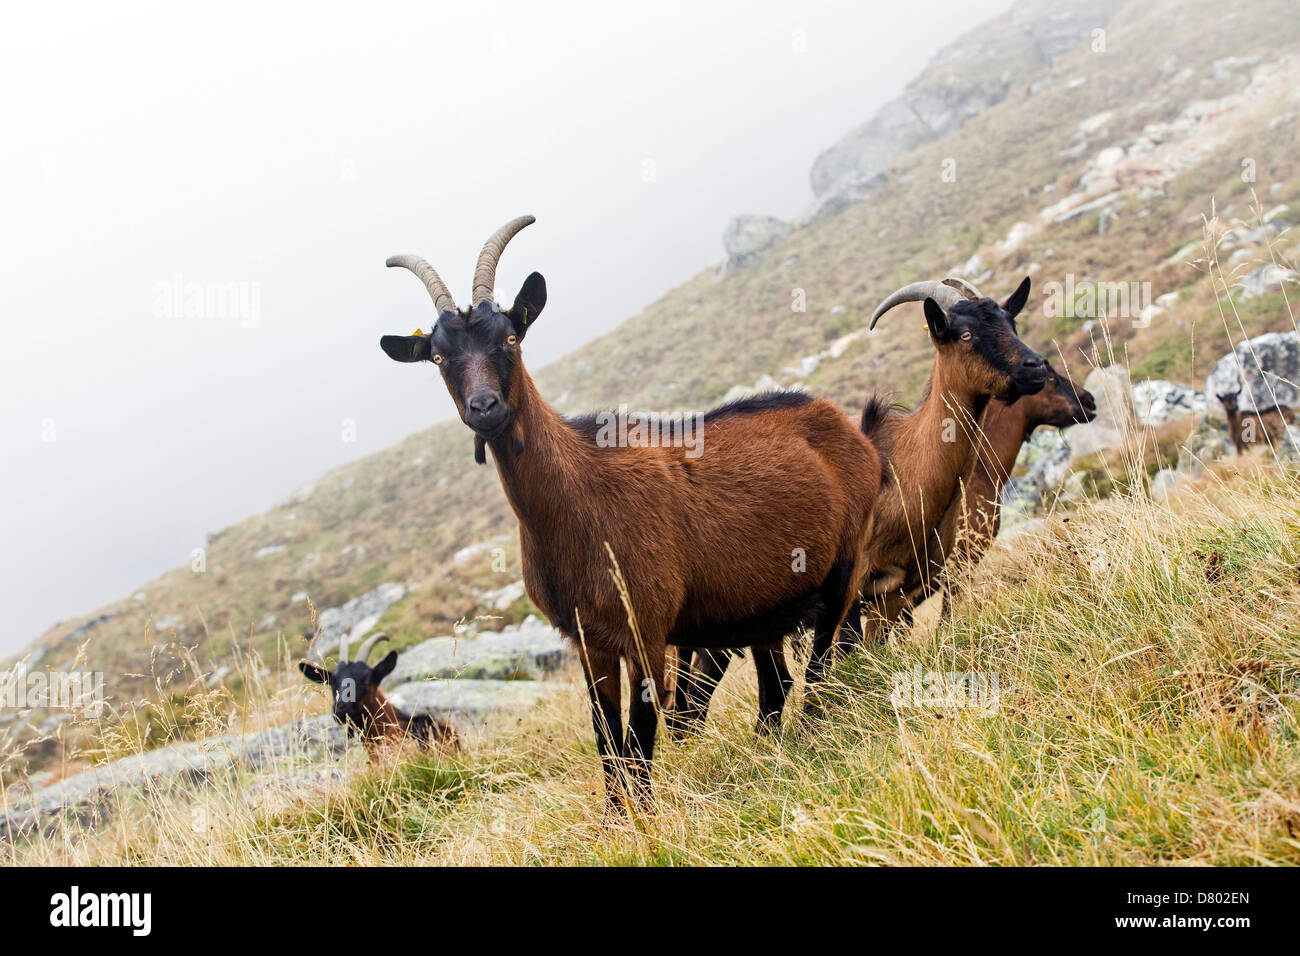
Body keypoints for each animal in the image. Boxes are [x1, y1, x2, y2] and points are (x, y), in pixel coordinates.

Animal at [377, 216, 881, 808]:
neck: (579, 500)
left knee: (822, 665)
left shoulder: (647, 631)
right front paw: (616, 817)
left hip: (842, 569)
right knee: (775, 684)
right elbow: (606, 742)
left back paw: (808, 737)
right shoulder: (588, 640)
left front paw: (642, 818)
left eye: (509, 338)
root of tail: (845, 426)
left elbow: (637, 745)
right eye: (437, 357)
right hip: (763, 604)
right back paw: (767, 756)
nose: (485, 408)